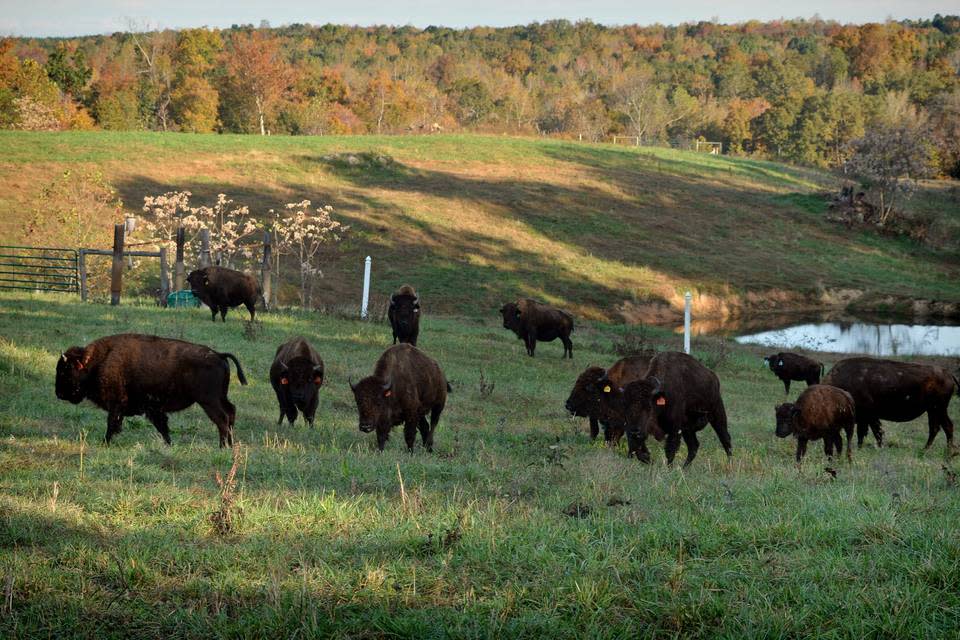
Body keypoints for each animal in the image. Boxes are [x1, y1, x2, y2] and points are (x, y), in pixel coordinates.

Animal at [55, 333, 247, 447]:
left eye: (65, 370)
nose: (59, 394)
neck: (96, 362)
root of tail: (219, 354)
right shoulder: (152, 409)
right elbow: (162, 427)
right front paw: (169, 444)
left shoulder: (116, 404)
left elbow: (111, 424)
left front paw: (105, 442)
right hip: (220, 397)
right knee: (231, 412)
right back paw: (230, 446)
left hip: (208, 401)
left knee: (222, 419)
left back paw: (222, 447)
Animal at [597, 351, 732, 467]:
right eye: (626, 406)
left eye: (649, 407)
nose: (608, 441)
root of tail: (713, 377)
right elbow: (639, 450)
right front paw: (651, 462)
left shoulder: (675, 429)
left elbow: (670, 450)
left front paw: (668, 468)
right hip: (688, 428)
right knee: (694, 446)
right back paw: (684, 468)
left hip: (717, 413)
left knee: (725, 439)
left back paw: (730, 465)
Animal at [823, 357, 959, 451]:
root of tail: (948, 373)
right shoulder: (867, 418)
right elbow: (869, 432)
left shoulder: (868, 416)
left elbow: (870, 432)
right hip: (933, 410)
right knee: (937, 427)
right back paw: (930, 450)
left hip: (939, 408)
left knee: (945, 426)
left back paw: (942, 451)